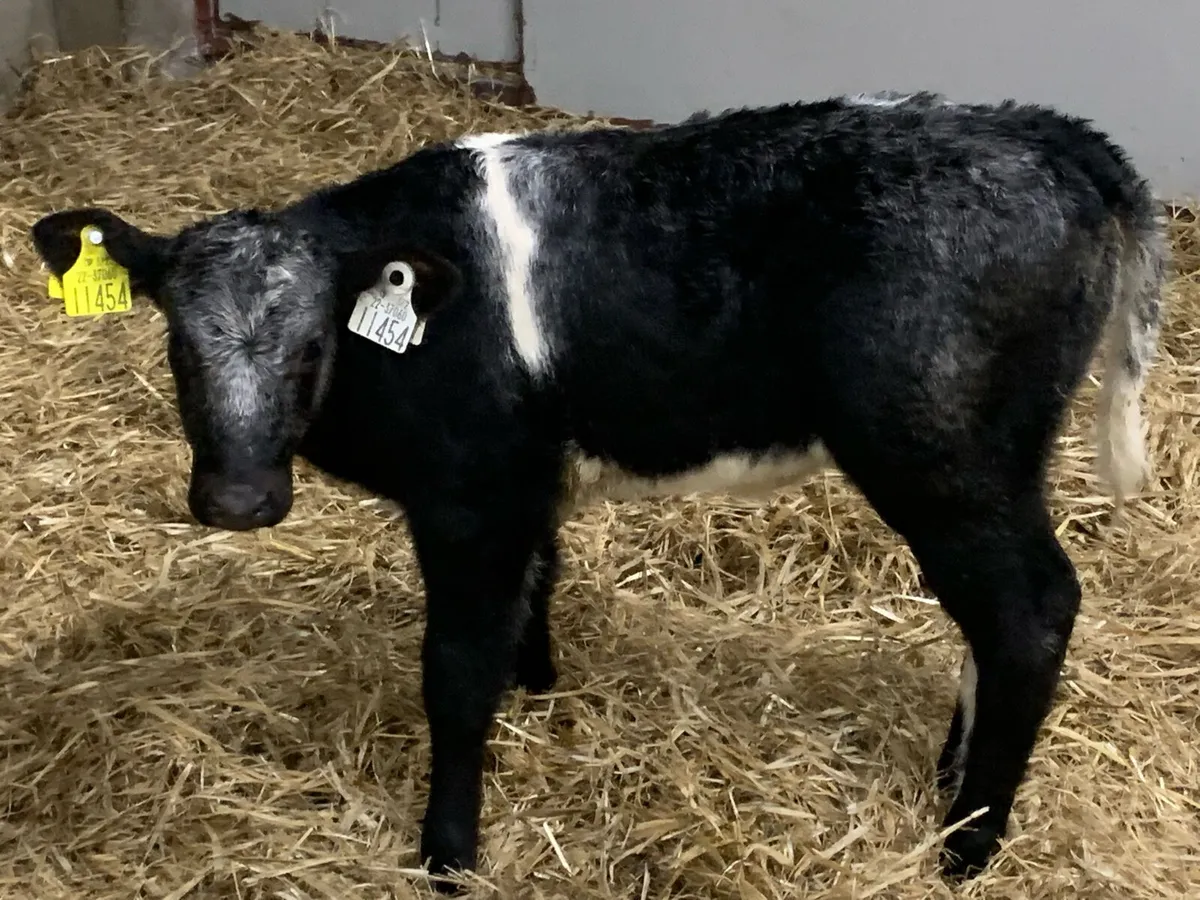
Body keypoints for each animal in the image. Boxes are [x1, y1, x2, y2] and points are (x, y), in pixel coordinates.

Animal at [32, 91, 1168, 891]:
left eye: (313, 345)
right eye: (177, 347)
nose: (236, 501)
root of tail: (1048, 135)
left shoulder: (468, 499)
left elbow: (453, 674)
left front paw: (448, 852)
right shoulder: (524, 489)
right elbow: (536, 590)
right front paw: (538, 690)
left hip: (942, 456)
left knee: (1029, 610)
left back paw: (967, 846)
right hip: (990, 461)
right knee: (995, 619)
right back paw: (949, 784)